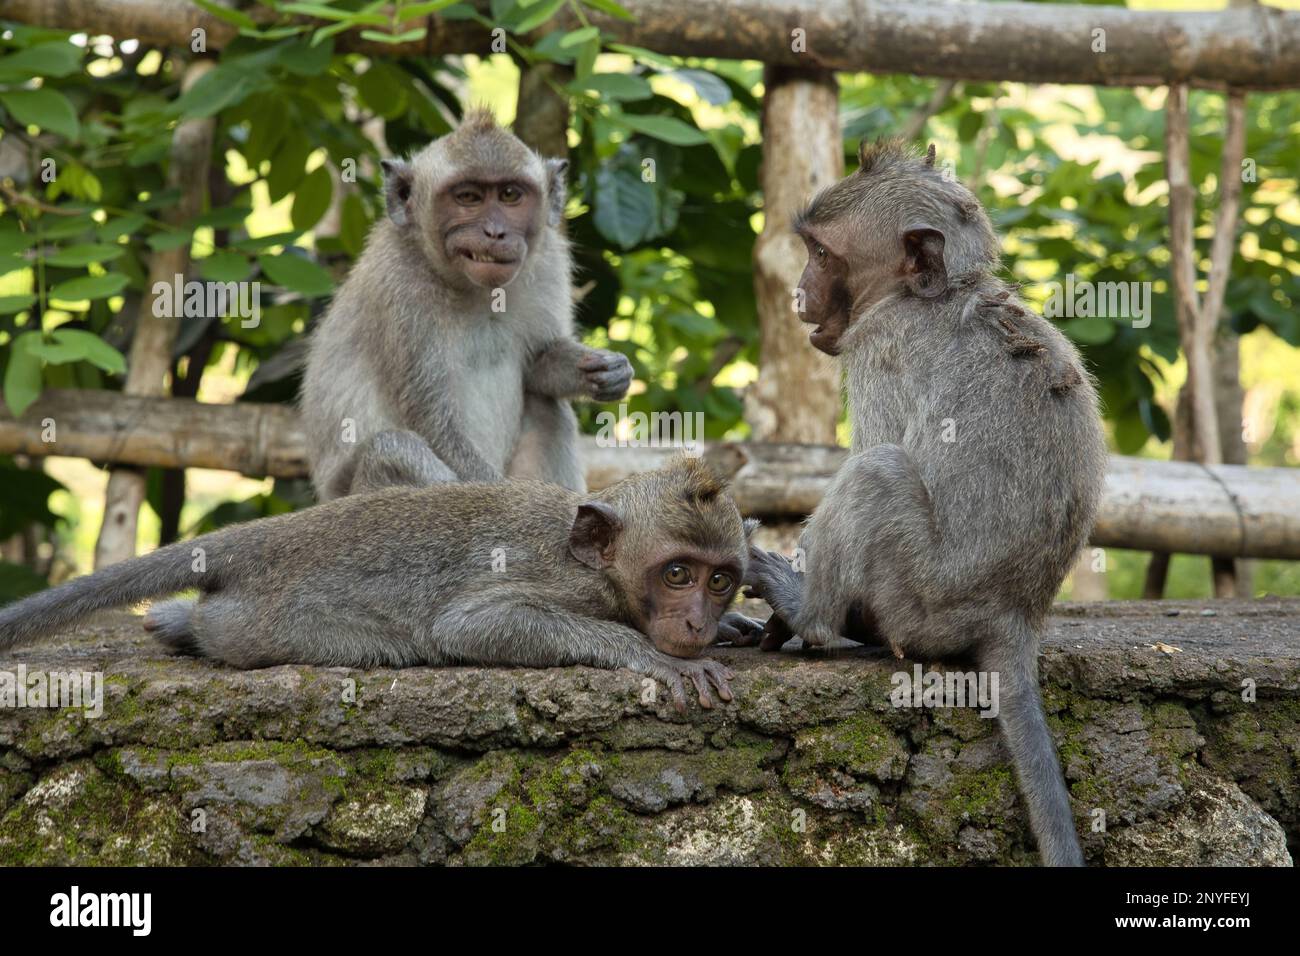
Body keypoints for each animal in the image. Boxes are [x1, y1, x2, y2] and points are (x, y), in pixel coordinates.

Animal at [0, 458, 764, 712]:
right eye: (676, 574)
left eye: (721, 580)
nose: (697, 621)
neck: (599, 565)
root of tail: (270, 536)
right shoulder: (563, 583)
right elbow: (469, 626)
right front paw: (655, 657)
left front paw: (732, 627)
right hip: (272, 622)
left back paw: (174, 622)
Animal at [300, 108, 633, 501]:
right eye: (468, 197)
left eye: (509, 195)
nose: (495, 232)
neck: (476, 291)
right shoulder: (400, 290)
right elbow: (434, 426)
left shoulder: (550, 260)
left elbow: (538, 363)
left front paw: (607, 371)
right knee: (393, 449)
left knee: (545, 404)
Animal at [742, 140, 1106, 866]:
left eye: (822, 253)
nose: (798, 293)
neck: (926, 294)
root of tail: (1016, 614)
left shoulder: (878, 346)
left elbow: (873, 450)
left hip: (920, 596)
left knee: (876, 473)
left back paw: (812, 614)